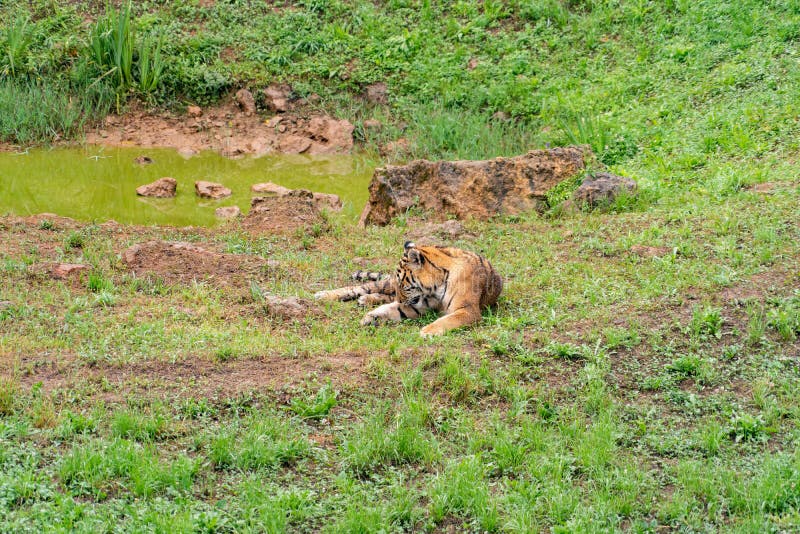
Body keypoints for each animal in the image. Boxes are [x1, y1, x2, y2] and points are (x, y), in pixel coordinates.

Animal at [314, 241, 503, 336]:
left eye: (403, 284)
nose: (399, 298)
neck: (438, 284)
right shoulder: (422, 303)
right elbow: (394, 308)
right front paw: (371, 317)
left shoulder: (468, 310)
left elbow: (448, 319)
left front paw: (427, 331)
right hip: (385, 284)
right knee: (362, 287)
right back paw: (324, 294)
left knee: (382, 295)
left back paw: (367, 300)